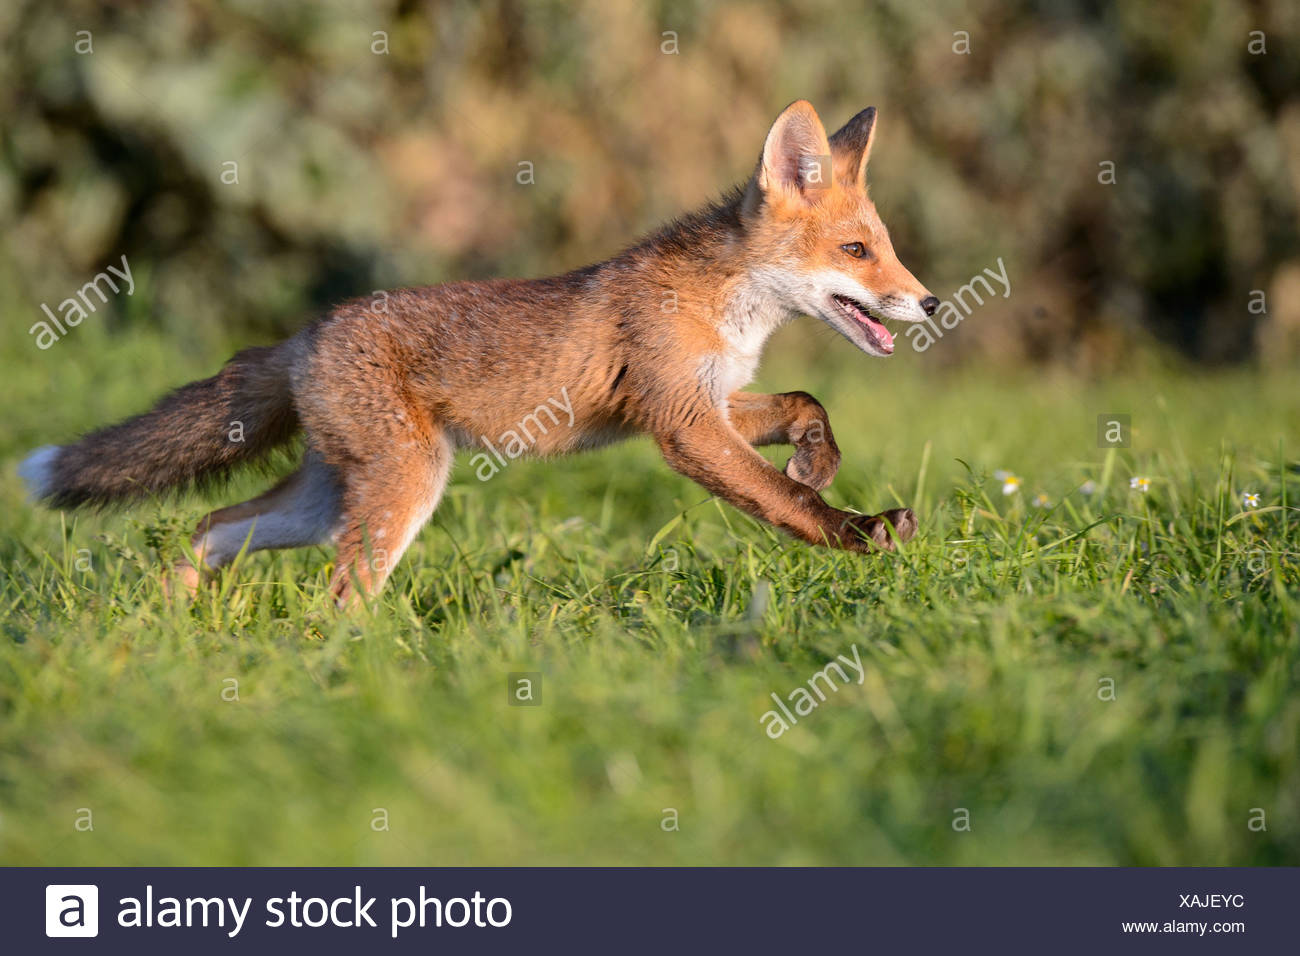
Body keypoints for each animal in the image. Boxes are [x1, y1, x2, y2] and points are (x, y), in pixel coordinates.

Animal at [19, 100, 939, 606]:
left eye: (885, 248)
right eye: (858, 252)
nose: (929, 301)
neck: (725, 305)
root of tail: (304, 335)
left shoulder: (708, 401)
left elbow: (804, 406)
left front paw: (818, 457)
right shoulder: (682, 426)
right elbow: (785, 506)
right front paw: (859, 532)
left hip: (328, 501)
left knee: (212, 527)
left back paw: (164, 631)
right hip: (404, 487)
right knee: (339, 597)